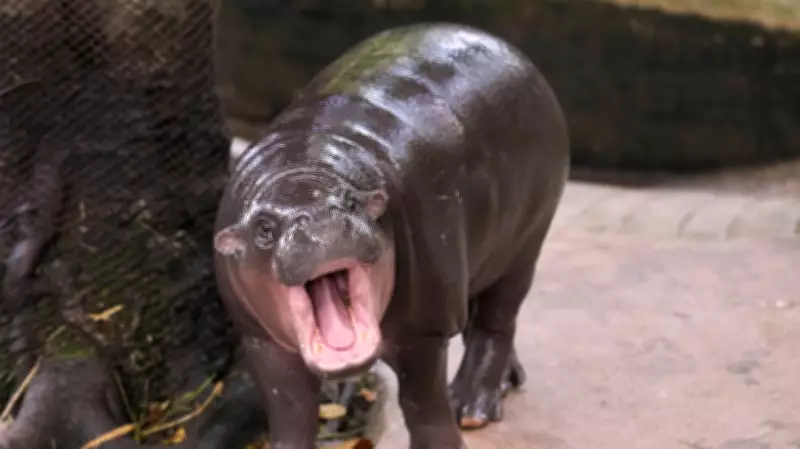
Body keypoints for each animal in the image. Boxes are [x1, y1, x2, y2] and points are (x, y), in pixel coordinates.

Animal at [213, 22, 569, 449]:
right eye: (264, 229)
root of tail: (504, 46)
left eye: (351, 202)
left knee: (497, 320)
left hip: (526, 241)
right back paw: (506, 382)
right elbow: (289, 411)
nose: (319, 221)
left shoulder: (424, 330)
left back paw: (472, 407)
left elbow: (422, 404)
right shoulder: (261, 343)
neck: (304, 167)